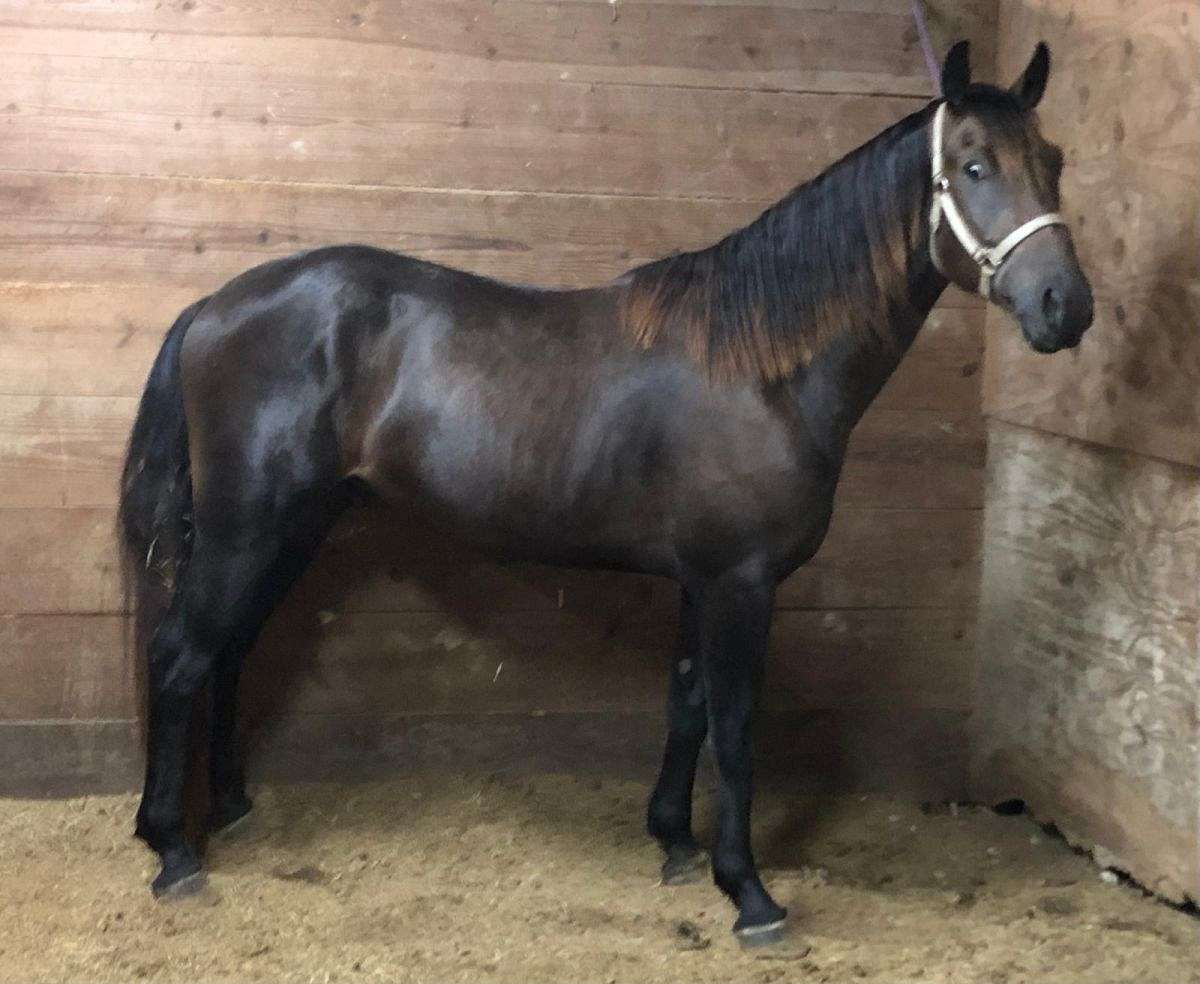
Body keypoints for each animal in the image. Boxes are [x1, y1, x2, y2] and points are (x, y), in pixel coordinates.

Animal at [118, 39, 1092, 942]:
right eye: (974, 166)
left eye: (1054, 160)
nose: (1066, 306)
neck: (761, 367)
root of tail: (213, 306)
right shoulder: (741, 582)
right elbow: (736, 726)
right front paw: (749, 894)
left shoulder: (705, 579)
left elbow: (688, 704)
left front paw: (676, 844)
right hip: (247, 531)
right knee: (180, 655)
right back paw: (172, 849)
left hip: (291, 529)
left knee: (230, 652)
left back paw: (232, 810)